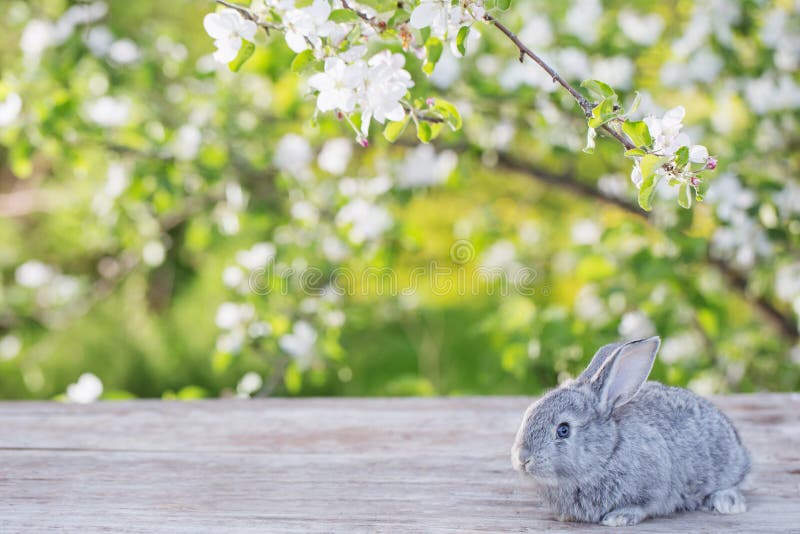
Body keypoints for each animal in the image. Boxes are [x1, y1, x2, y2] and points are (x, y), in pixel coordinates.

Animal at [510, 336, 751, 526]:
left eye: (563, 430)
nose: (522, 458)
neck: (607, 453)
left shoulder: (656, 485)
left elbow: (644, 505)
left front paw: (619, 518)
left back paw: (727, 503)